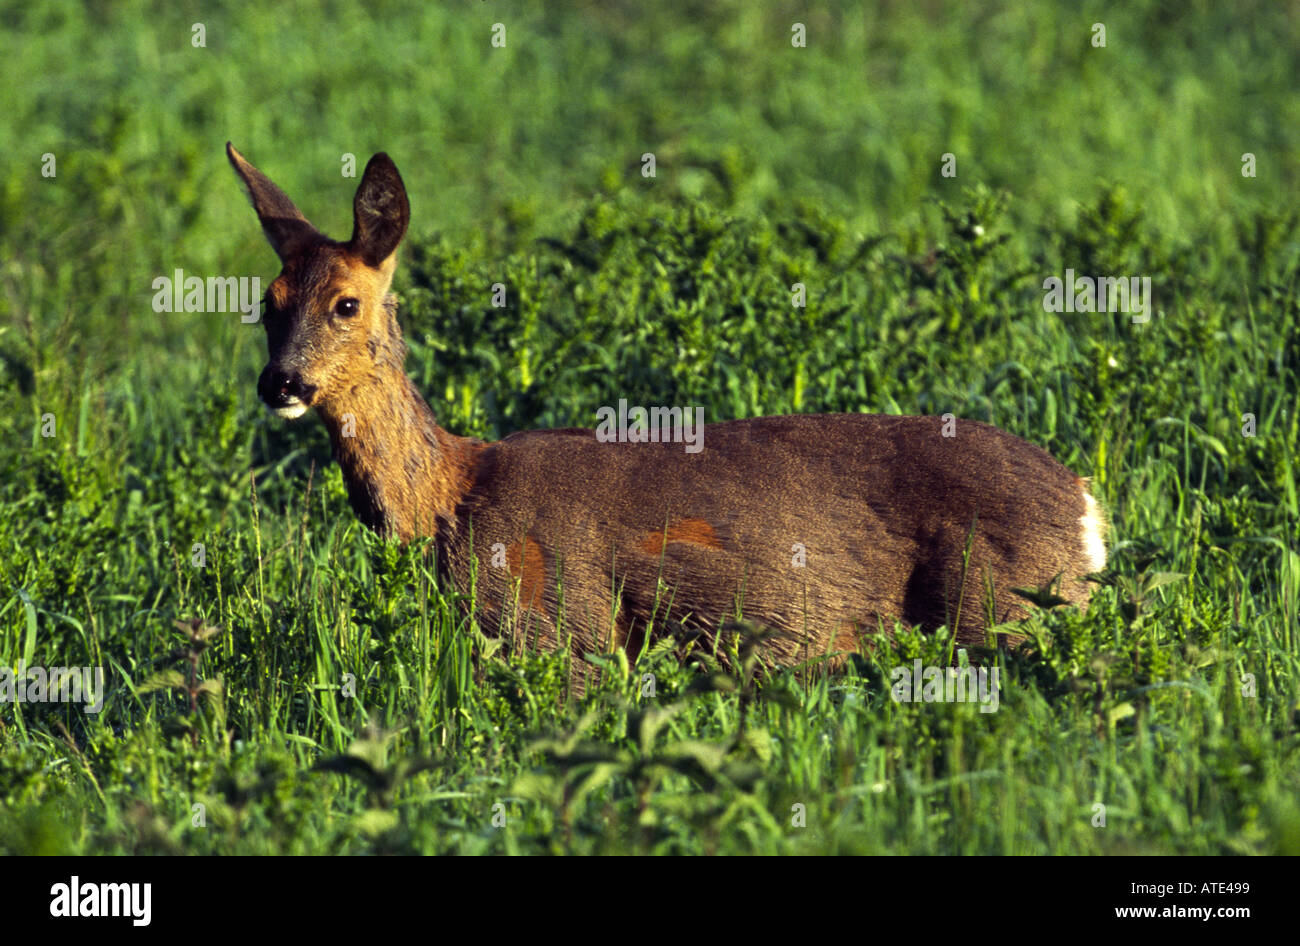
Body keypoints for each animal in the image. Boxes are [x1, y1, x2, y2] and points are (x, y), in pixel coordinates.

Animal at [226, 142, 1108, 684]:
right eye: (267, 302)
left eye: (346, 302)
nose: (281, 382)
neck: (451, 499)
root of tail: (1088, 507)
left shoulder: (562, 633)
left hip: (1006, 611)